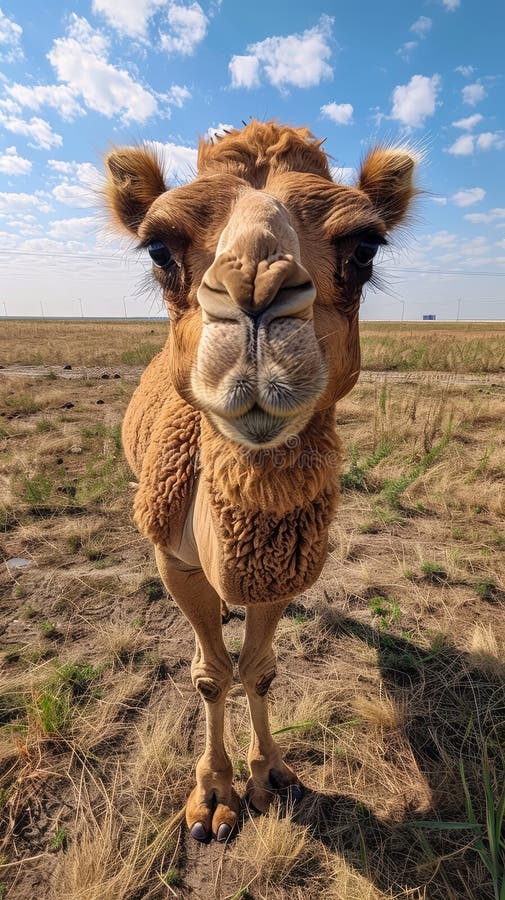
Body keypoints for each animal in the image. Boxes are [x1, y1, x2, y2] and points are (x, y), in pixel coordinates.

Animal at [103, 121, 417, 844]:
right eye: (159, 249)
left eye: (364, 248)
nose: (252, 293)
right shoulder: (172, 558)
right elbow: (211, 676)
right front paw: (214, 799)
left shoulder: (280, 569)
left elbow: (261, 670)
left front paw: (271, 777)